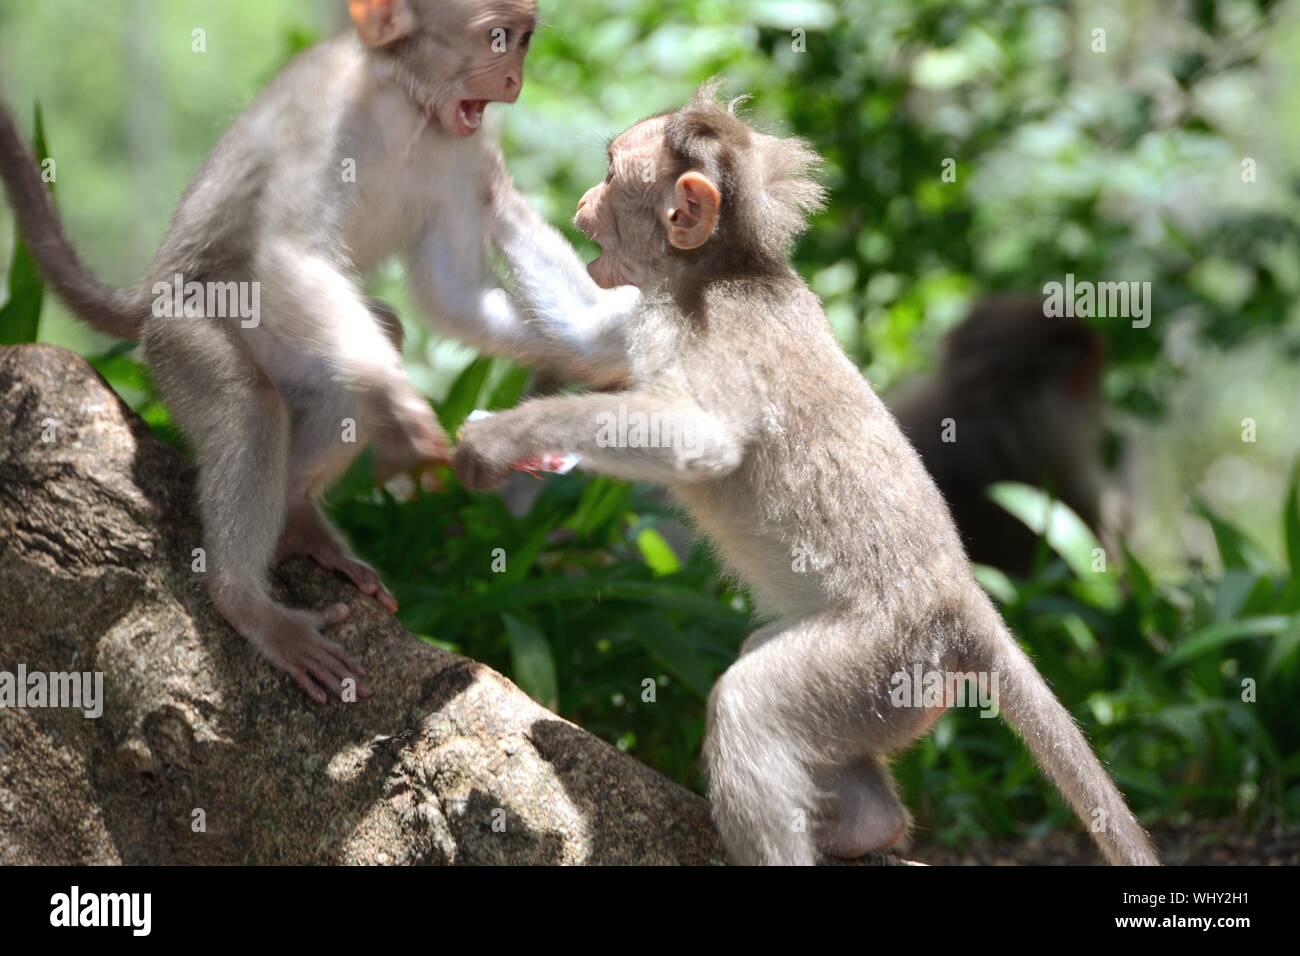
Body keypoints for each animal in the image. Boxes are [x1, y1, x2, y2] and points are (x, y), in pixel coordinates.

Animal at [0, 0, 638, 704]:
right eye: (499, 39)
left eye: (524, 40)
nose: (515, 81)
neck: (402, 101)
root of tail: (148, 297)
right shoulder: (324, 118)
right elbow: (292, 254)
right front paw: (405, 409)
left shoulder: (461, 150)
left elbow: (454, 295)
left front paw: (607, 351)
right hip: (182, 329)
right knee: (250, 402)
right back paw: (246, 604)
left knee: (357, 351)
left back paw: (301, 515)